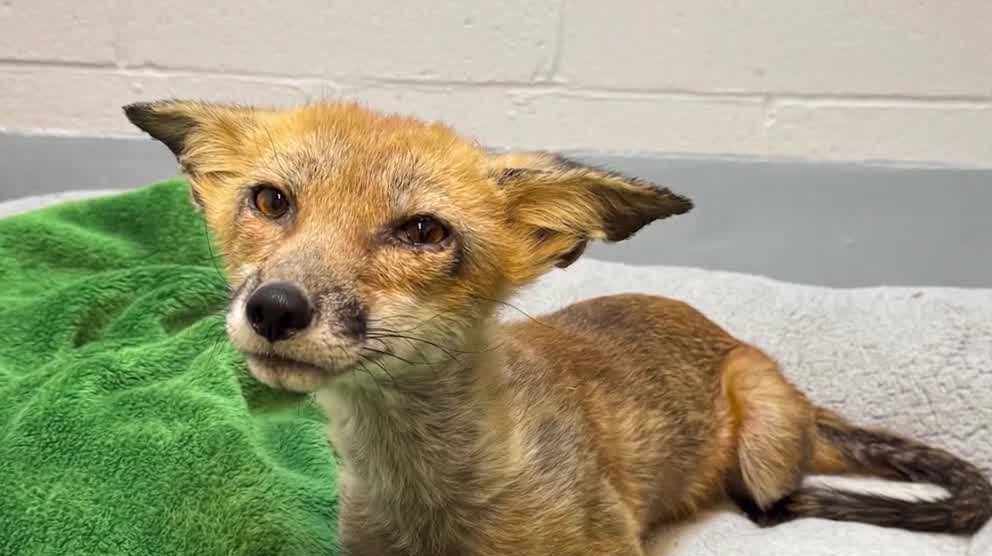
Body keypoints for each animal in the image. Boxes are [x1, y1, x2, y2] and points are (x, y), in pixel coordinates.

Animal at [125, 100, 992, 556]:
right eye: (271, 201)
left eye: (423, 231)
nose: (275, 308)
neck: (434, 507)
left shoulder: (604, 543)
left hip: (765, 443)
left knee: (776, 502)